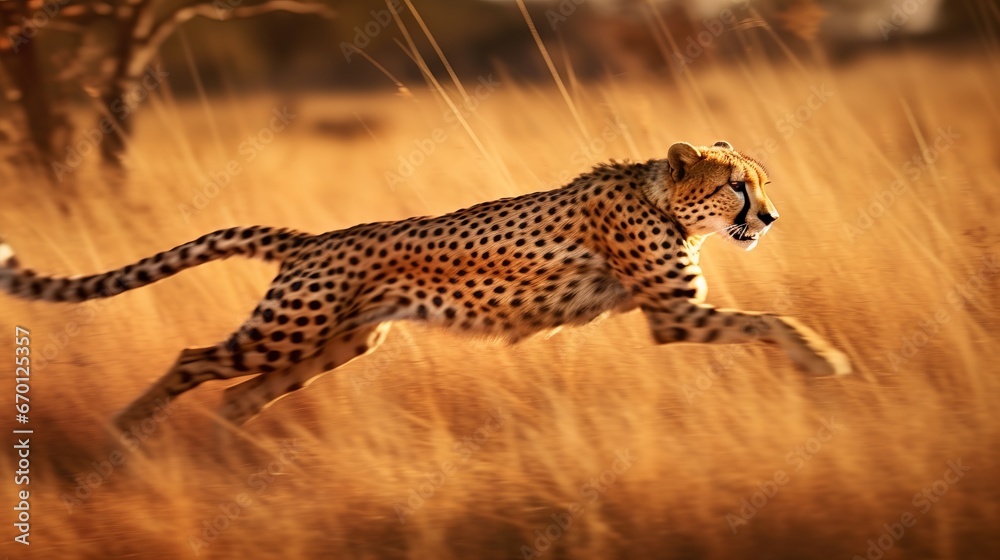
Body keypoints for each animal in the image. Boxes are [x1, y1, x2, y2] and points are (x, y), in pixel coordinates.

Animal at [0, 141, 850, 433]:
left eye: (761, 183)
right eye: (738, 186)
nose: (770, 217)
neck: (660, 197)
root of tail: (313, 239)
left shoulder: (678, 310)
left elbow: (766, 318)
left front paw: (823, 361)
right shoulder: (675, 313)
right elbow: (771, 320)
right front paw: (826, 360)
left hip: (339, 344)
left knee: (238, 395)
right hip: (289, 330)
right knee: (193, 360)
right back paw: (128, 428)